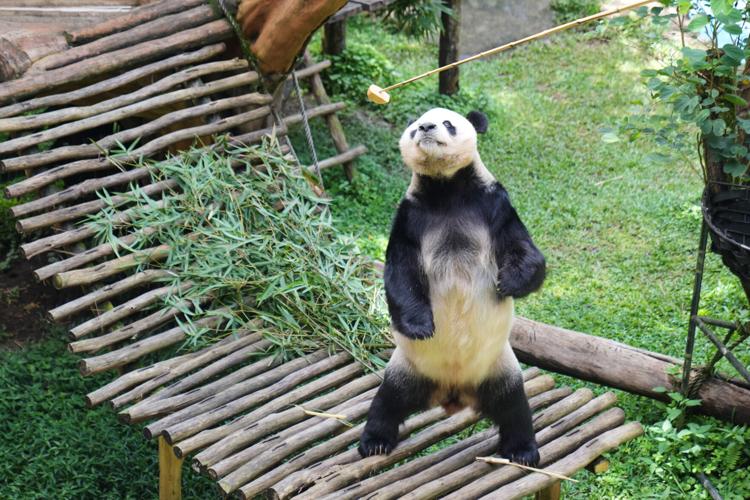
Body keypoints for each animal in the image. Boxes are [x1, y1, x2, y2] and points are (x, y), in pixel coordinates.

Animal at [358, 107, 546, 466]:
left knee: (514, 406)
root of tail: (454, 391)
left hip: (499, 366)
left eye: (448, 123)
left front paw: (508, 283)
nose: (426, 128)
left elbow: (525, 251)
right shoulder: (409, 217)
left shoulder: (494, 206)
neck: (446, 190)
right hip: (407, 367)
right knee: (387, 400)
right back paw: (374, 442)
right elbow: (401, 272)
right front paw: (420, 326)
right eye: (415, 128)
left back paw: (523, 450)